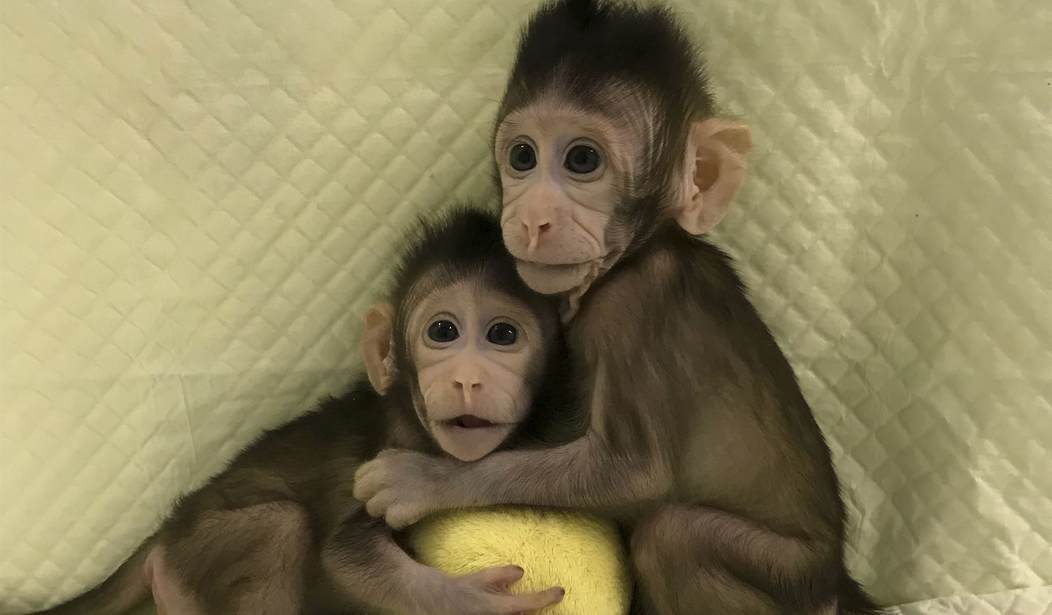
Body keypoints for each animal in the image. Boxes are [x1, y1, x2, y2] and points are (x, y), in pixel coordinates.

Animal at [33, 206, 570, 615]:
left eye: (503, 335)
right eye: (443, 332)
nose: (467, 379)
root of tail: (168, 529)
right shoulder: (387, 453)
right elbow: (346, 556)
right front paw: (472, 600)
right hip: (199, 549)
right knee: (281, 526)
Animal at [354, 2, 882, 614]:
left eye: (582, 159)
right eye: (522, 156)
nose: (532, 218)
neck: (640, 251)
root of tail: (836, 581)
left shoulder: (630, 310)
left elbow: (633, 473)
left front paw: (425, 480)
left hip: (788, 575)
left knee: (672, 534)